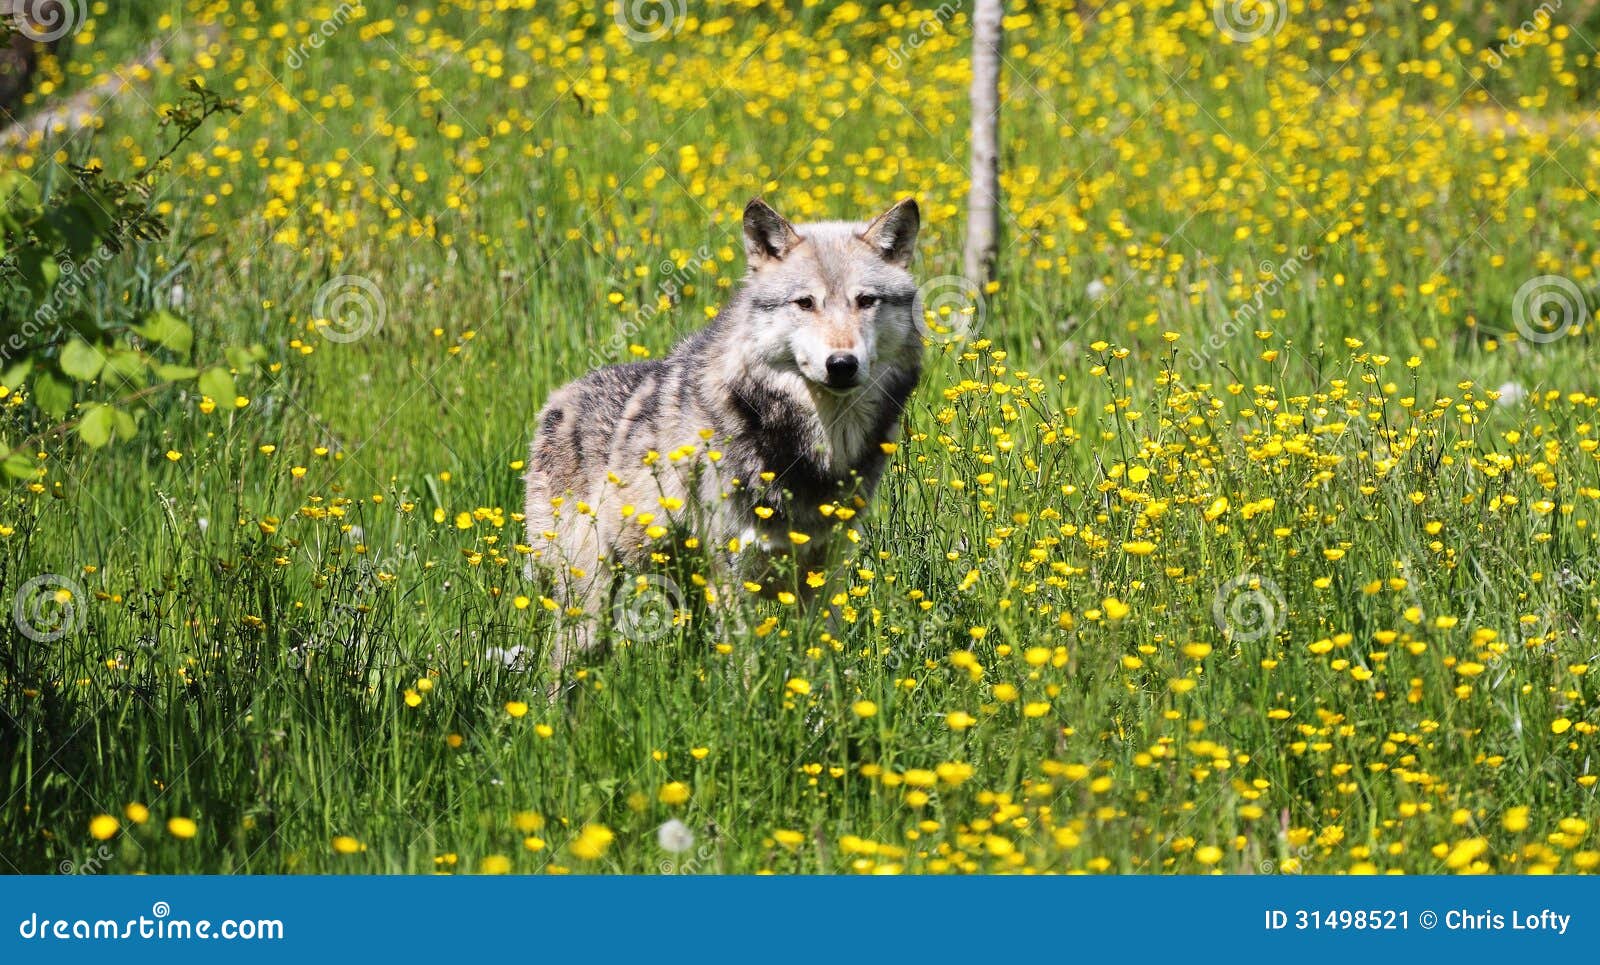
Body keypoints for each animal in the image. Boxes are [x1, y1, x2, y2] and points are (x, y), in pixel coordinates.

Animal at [523, 196, 923, 682]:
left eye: (866, 301)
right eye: (805, 303)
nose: (842, 364)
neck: (810, 449)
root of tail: (556, 400)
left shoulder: (826, 568)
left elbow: (819, 664)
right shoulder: (733, 572)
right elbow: (747, 670)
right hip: (589, 610)